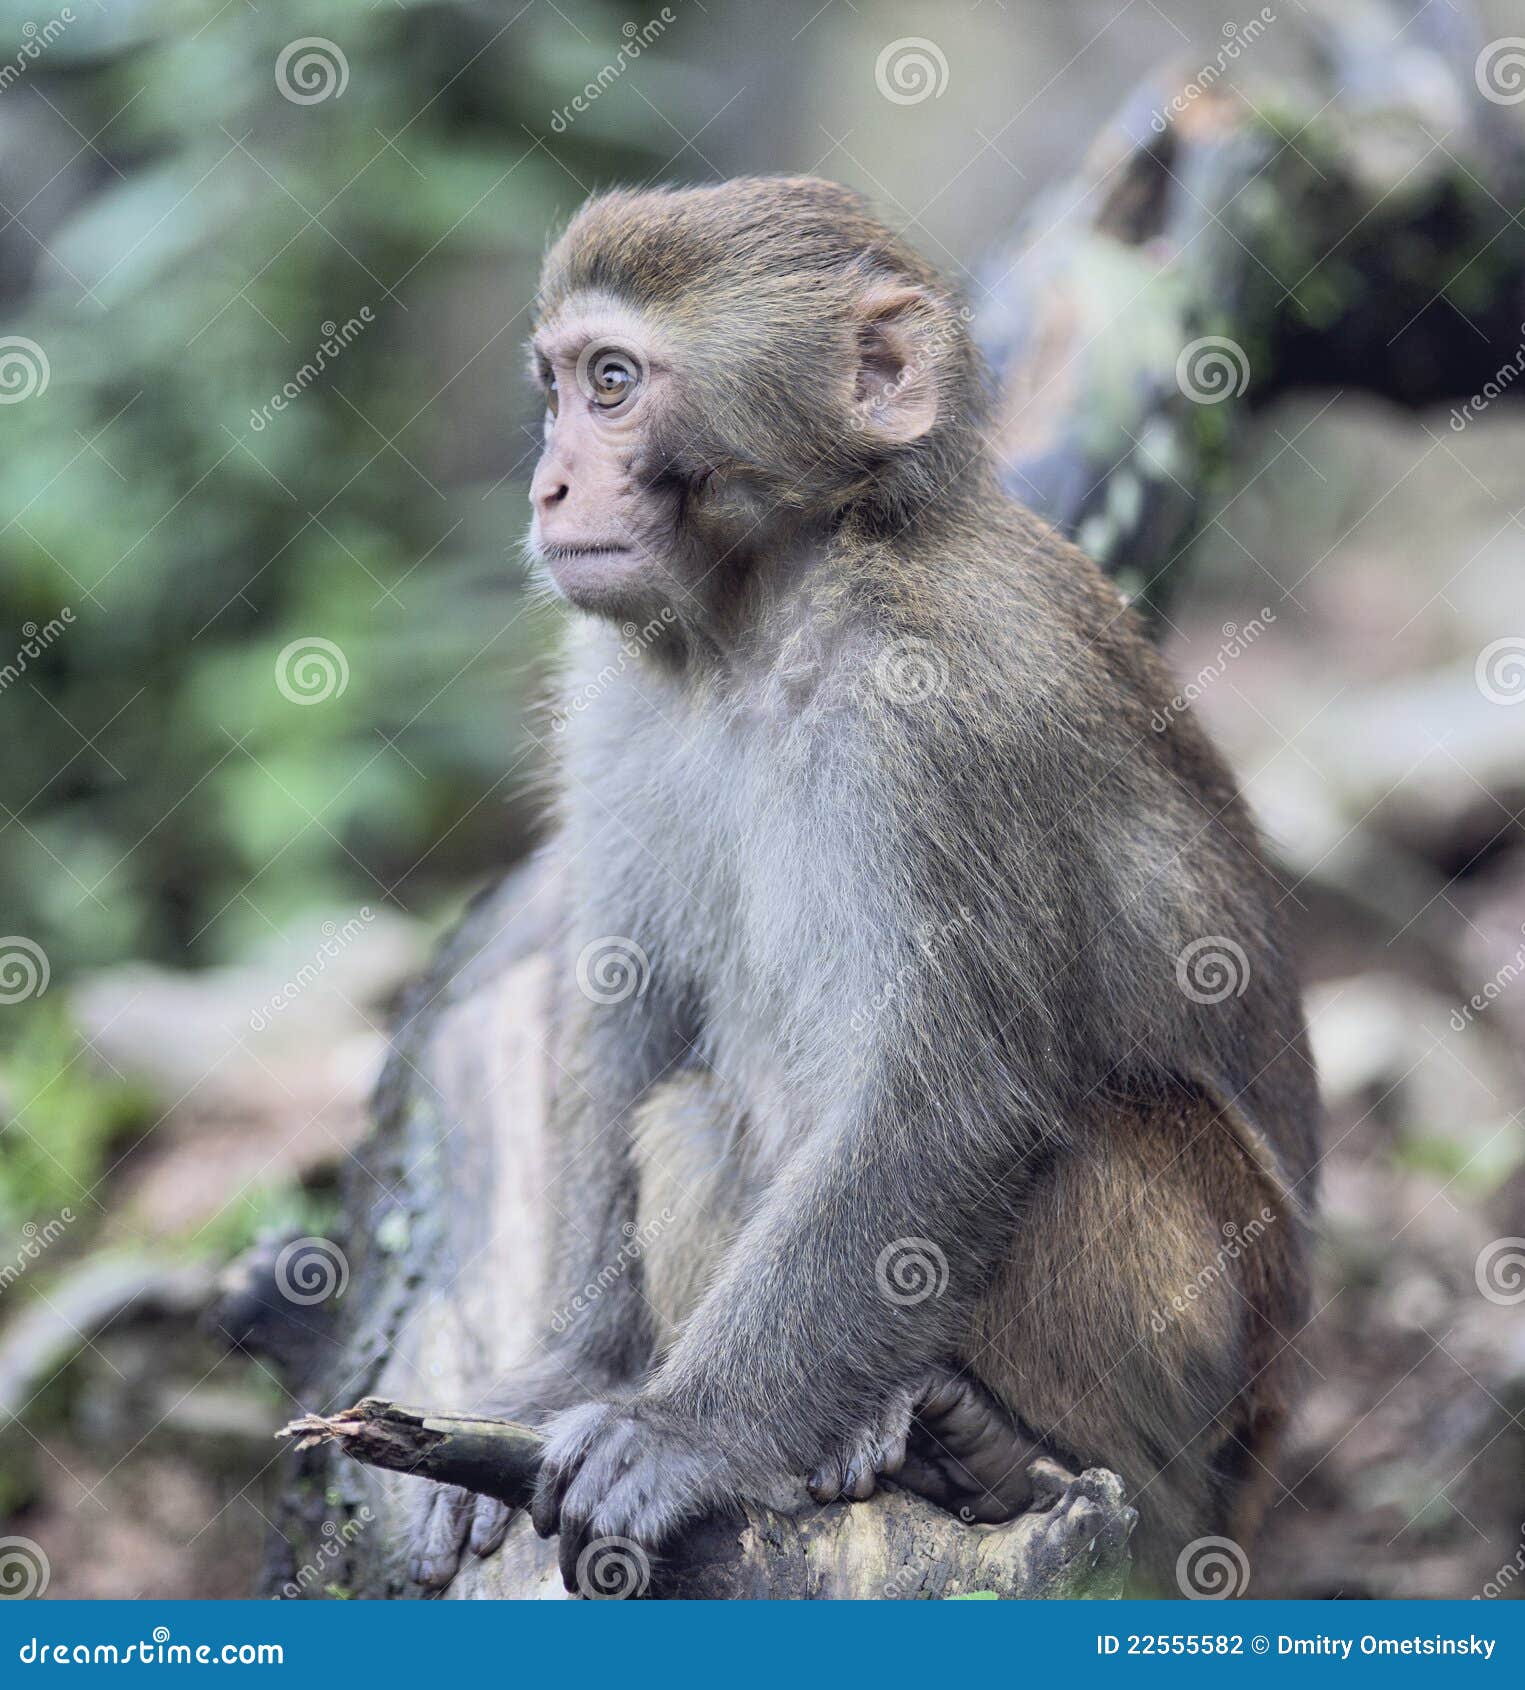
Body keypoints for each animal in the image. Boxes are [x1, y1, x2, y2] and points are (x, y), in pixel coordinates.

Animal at [408, 175, 1319, 1598]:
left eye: (614, 382)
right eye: (557, 386)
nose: (551, 484)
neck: (771, 609)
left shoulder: (939, 719)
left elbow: (951, 1100)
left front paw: (682, 1430)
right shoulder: (618, 690)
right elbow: (627, 1019)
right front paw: (562, 1376)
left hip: (1230, 1398)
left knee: (1112, 1133)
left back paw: (1015, 1456)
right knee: (690, 1115)